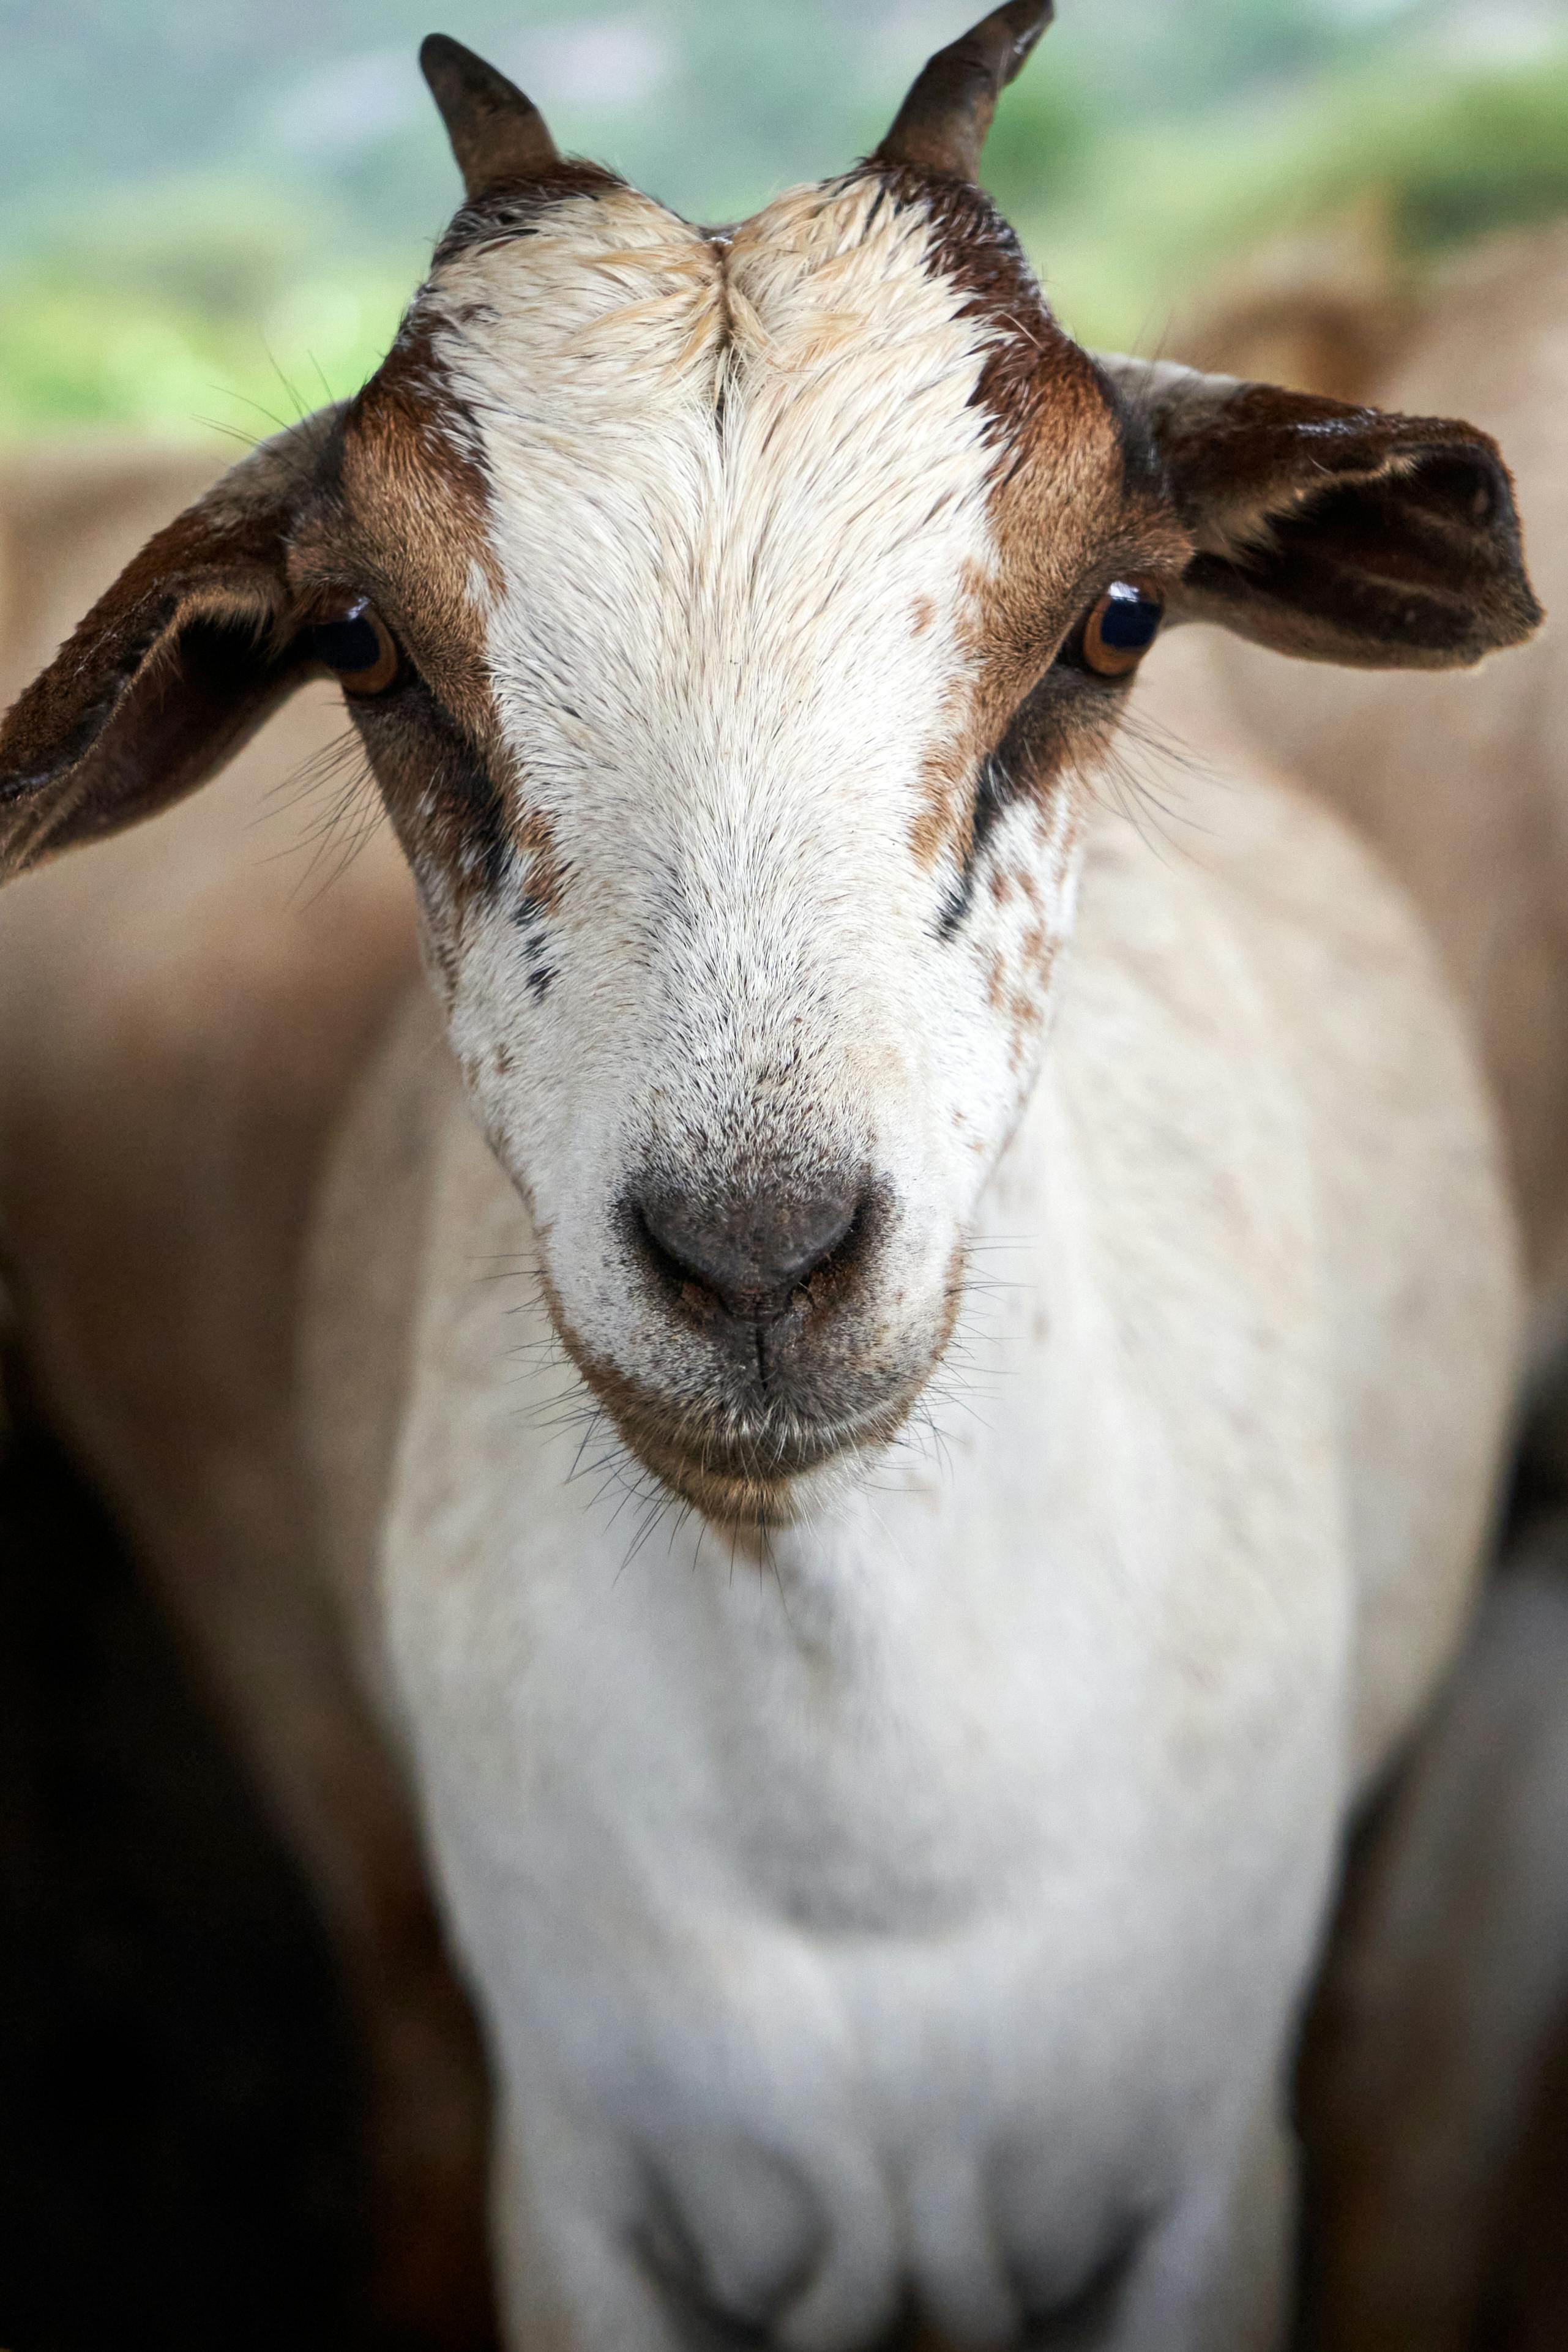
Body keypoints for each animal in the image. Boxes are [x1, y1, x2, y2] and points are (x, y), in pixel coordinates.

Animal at [0, 9, 1541, 2346]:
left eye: (1115, 615)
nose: (753, 1258)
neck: (860, 1824)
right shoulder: (595, 2192)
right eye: (360, 643)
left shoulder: (1192, 2182)